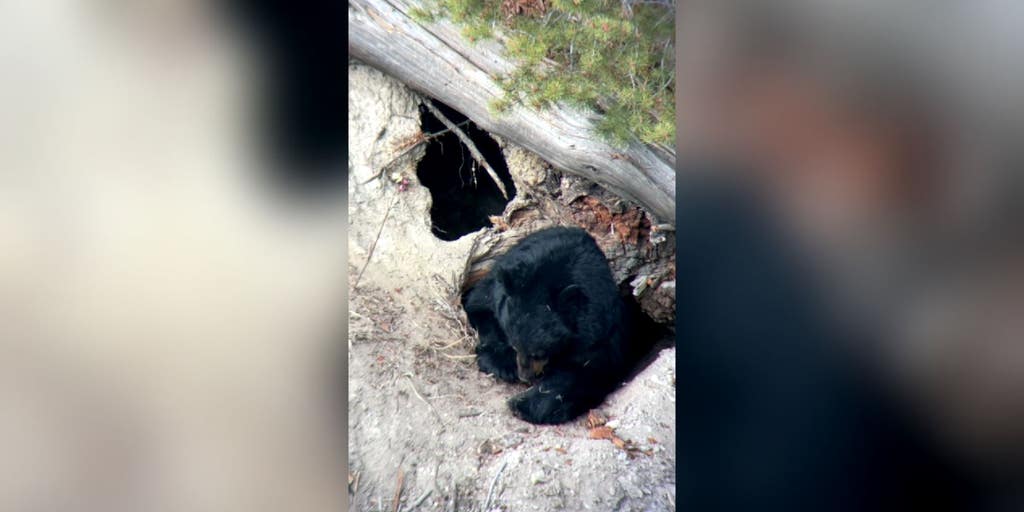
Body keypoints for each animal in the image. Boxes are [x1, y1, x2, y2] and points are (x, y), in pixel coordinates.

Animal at [462, 226, 631, 424]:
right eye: (515, 345)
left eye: (540, 353)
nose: (524, 377)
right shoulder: (496, 290)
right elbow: (479, 306)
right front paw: (502, 364)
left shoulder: (598, 328)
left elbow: (586, 370)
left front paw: (523, 405)